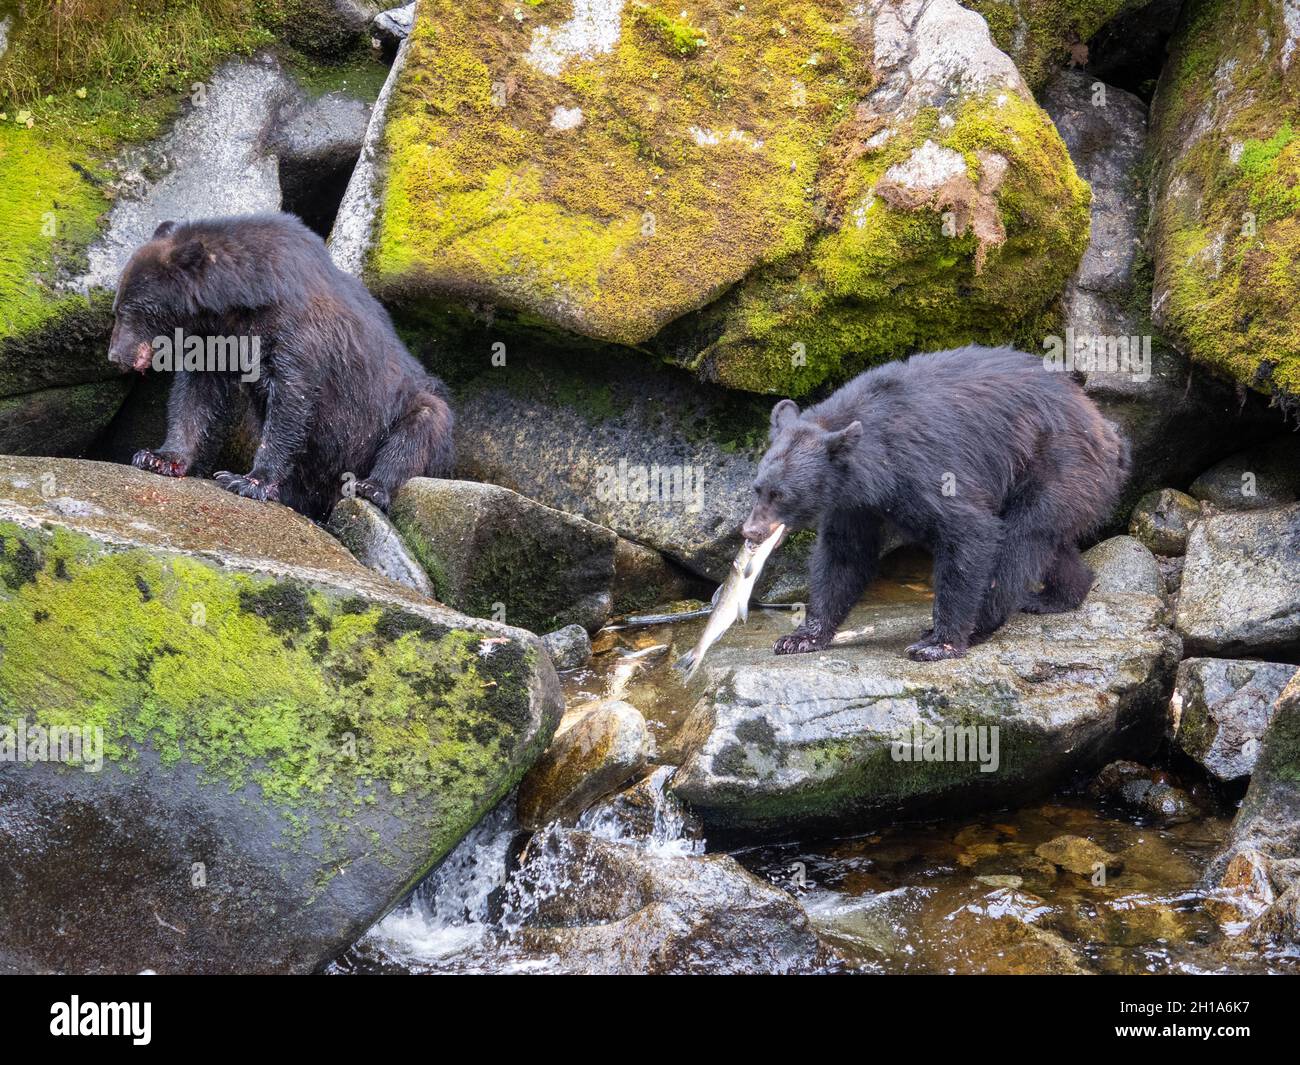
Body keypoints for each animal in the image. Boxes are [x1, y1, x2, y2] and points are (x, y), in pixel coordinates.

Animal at [106, 212, 453, 519]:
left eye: (129, 310)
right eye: (117, 307)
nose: (115, 355)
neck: (243, 301)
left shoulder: (297, 334)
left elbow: (291, 401)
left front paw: (247, 480)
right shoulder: (215, 339)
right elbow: (195, 396)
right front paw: (158, 457)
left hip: (399, 410)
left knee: (418, 430)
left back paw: (372, 486)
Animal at [741, 346, 1130, 661]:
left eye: (781, 494)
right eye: (757, 488)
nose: (751, 531)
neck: (872, 463)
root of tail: (1108, 432)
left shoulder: (925, 468)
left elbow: (969, 532)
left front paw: (939, 643)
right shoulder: (852, 503)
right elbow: (844, 555)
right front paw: (801, 637)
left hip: (1055, 463)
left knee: (1021, 542)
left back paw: (980, 624)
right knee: (1050, 542)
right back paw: (1058, 595)